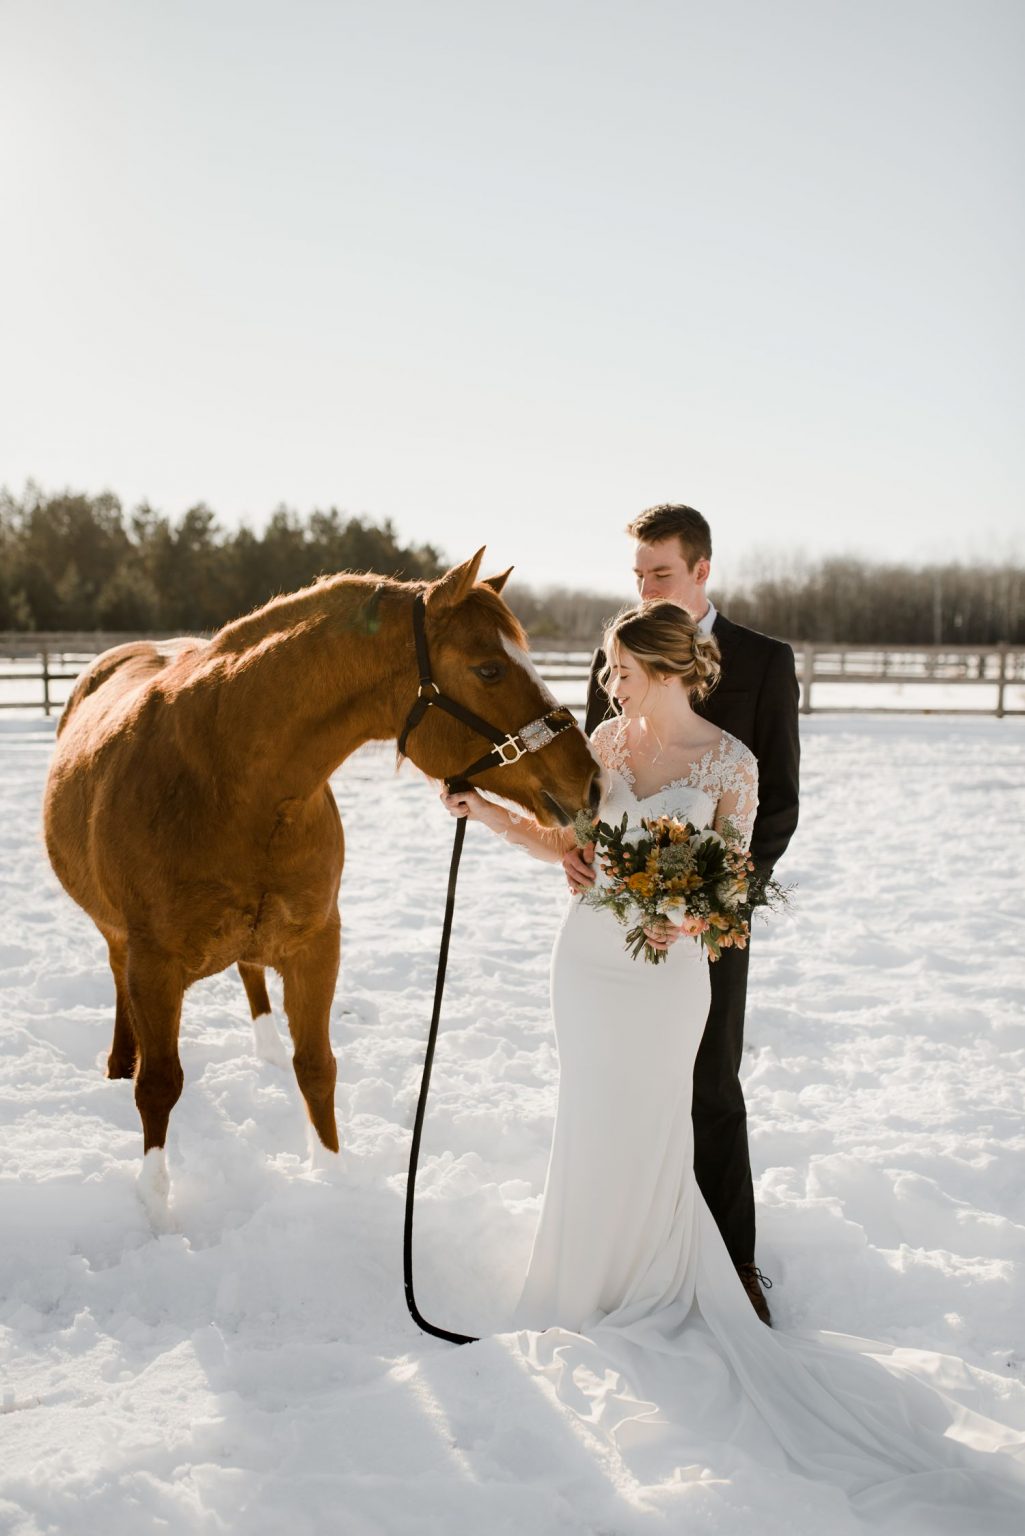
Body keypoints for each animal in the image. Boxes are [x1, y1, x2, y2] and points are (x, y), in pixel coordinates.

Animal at [43, 548, 600, 1183]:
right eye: (488, 670)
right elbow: (158, 1084)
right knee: (118, 977)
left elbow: (316, 1067)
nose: (590, 779)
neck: (228, 783)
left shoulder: (315, 944)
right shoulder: (154, 964)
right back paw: (119, 1060)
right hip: (119, 939)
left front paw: (331, 1179)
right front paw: (155, 1200)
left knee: (251, 973)